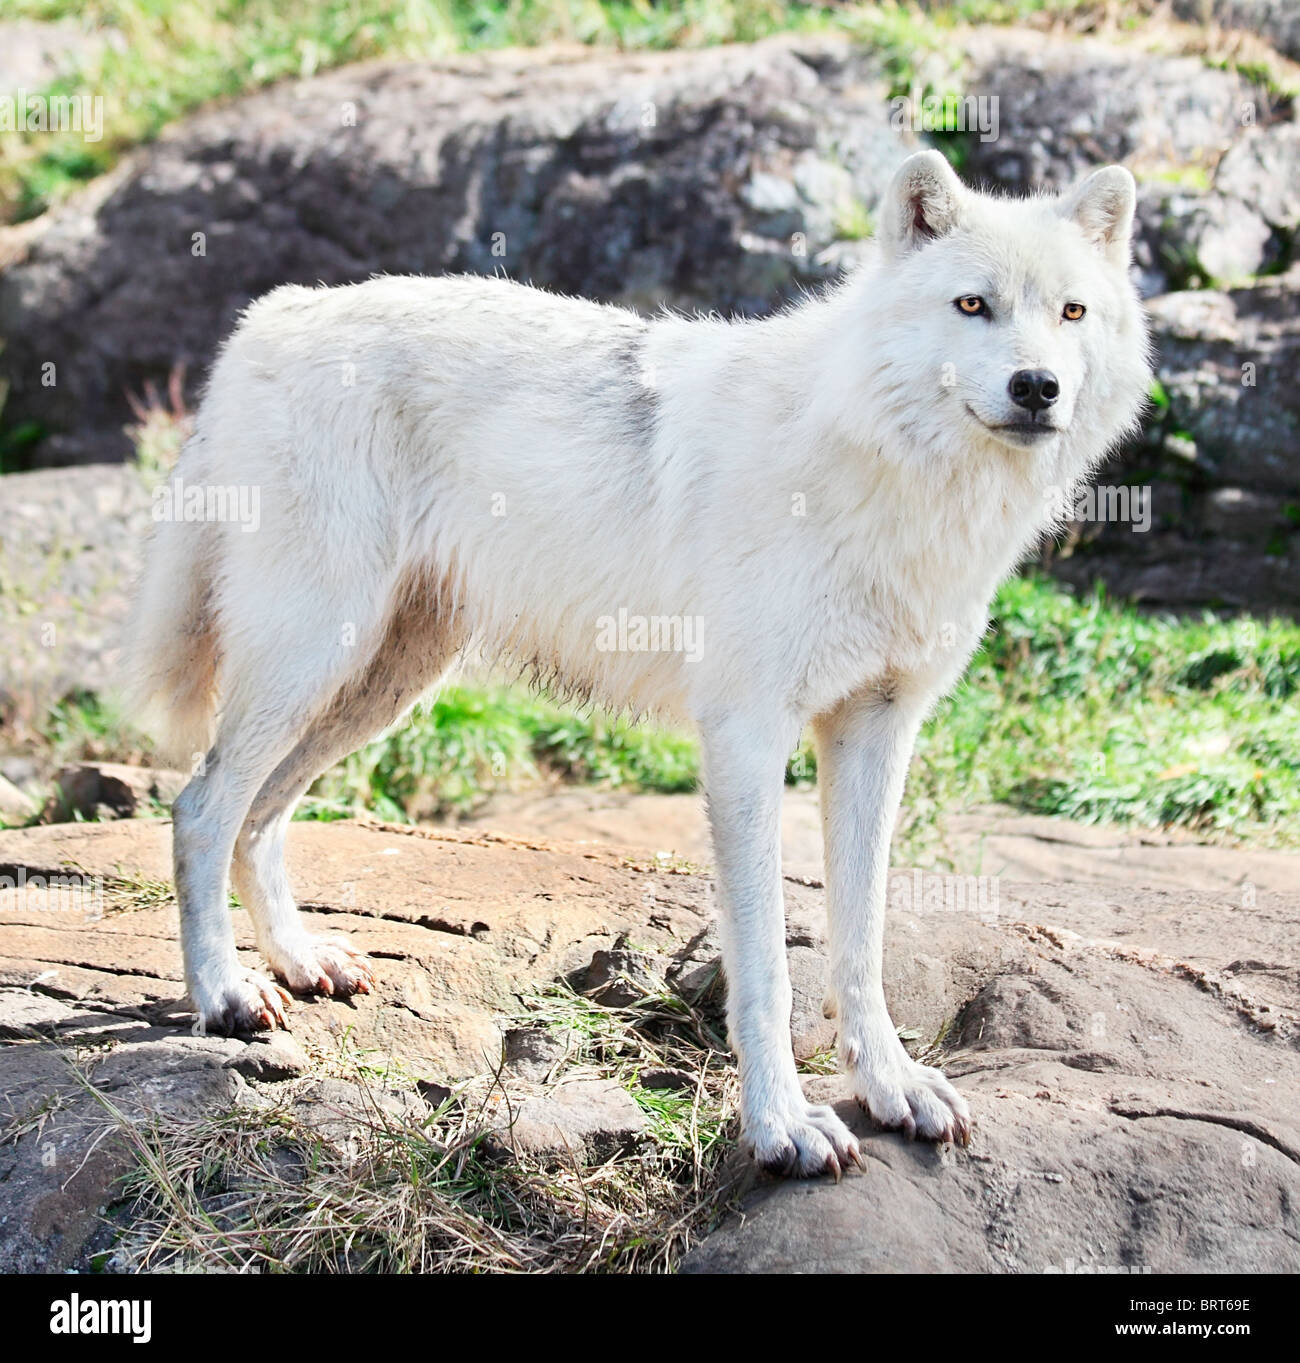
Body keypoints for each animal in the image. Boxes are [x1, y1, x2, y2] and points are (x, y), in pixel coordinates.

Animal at [124, 149, 1150, 1177]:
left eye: (1071, 312)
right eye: (973, 304)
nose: (1036, 386)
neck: (894, 477)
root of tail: (273, 313)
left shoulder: (877, 727)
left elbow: (862, 940)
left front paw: (892, 1086)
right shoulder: (745, 736)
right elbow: (767, 965)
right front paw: (782, 1125)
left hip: (381, 682)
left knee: (259, 816)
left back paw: (300, 960)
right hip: (315, 656)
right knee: (201, 806)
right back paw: (224, 995)